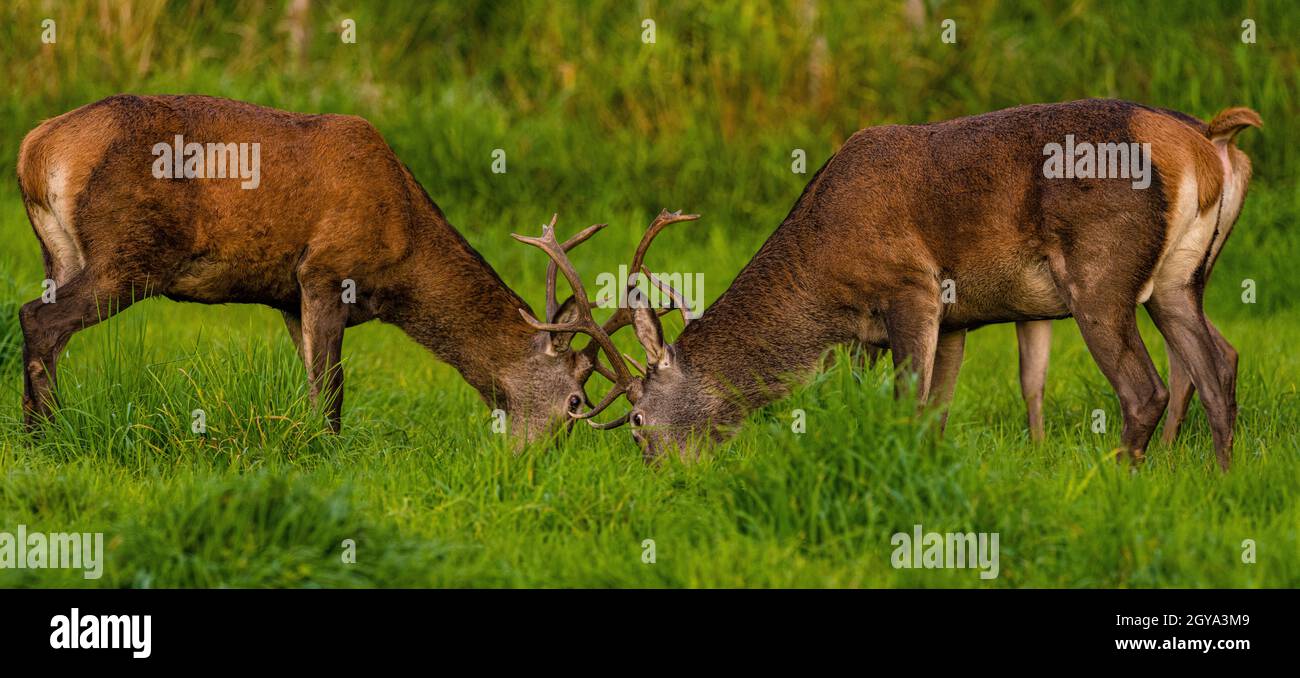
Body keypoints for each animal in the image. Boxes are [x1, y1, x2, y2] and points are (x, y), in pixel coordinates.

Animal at [14, 94, 679, 441]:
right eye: (575, 400)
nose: (543, 456)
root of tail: (36, 149)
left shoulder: (289, 297)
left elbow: (312, 386)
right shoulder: (326, 272)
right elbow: (333, 391)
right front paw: (328, 455)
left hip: (60, 251)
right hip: (127, 255)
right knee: (38, 320)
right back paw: (45, 435)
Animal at [538, 99, 1261, 471]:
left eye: (636, 422)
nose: (660, 478)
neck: (823, 276)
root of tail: (1204, 147)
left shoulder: (913, 288)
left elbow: (908, 407)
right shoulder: (946, 321)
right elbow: (931, 413)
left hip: (1100, 272)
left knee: (1147, 388)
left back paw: (1120, 480)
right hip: (1179, 281)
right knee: (1219, 361)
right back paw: (1220, 480)